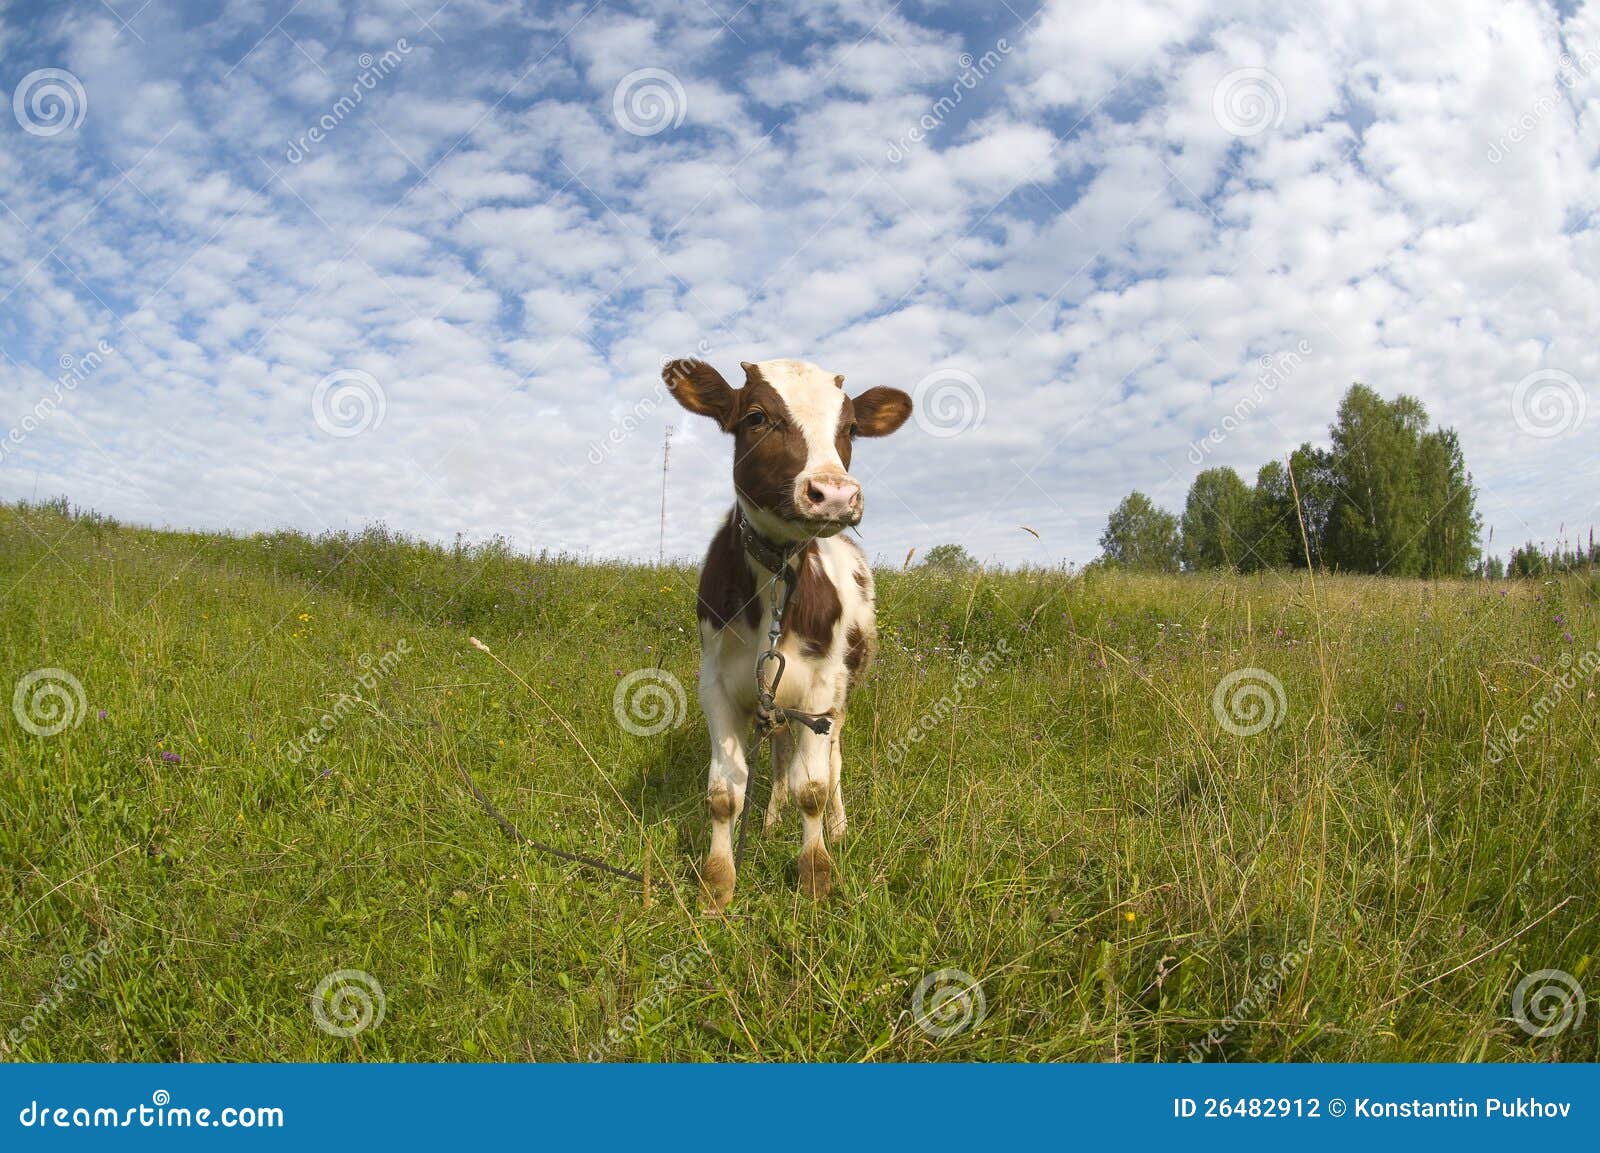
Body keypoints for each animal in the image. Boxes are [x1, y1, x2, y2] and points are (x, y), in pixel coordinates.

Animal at [663, 357, 913, 909]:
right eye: (756, 416)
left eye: (851, 428)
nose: (835, 494)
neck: (775, 581)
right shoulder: (716, 684)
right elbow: (724, 793)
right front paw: (718, 882)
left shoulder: (819, 687)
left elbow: (813, 787)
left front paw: (815, 873)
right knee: (780, 757)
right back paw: (773, 818)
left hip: (840, 693)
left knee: (832, 759)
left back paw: (837, 827)